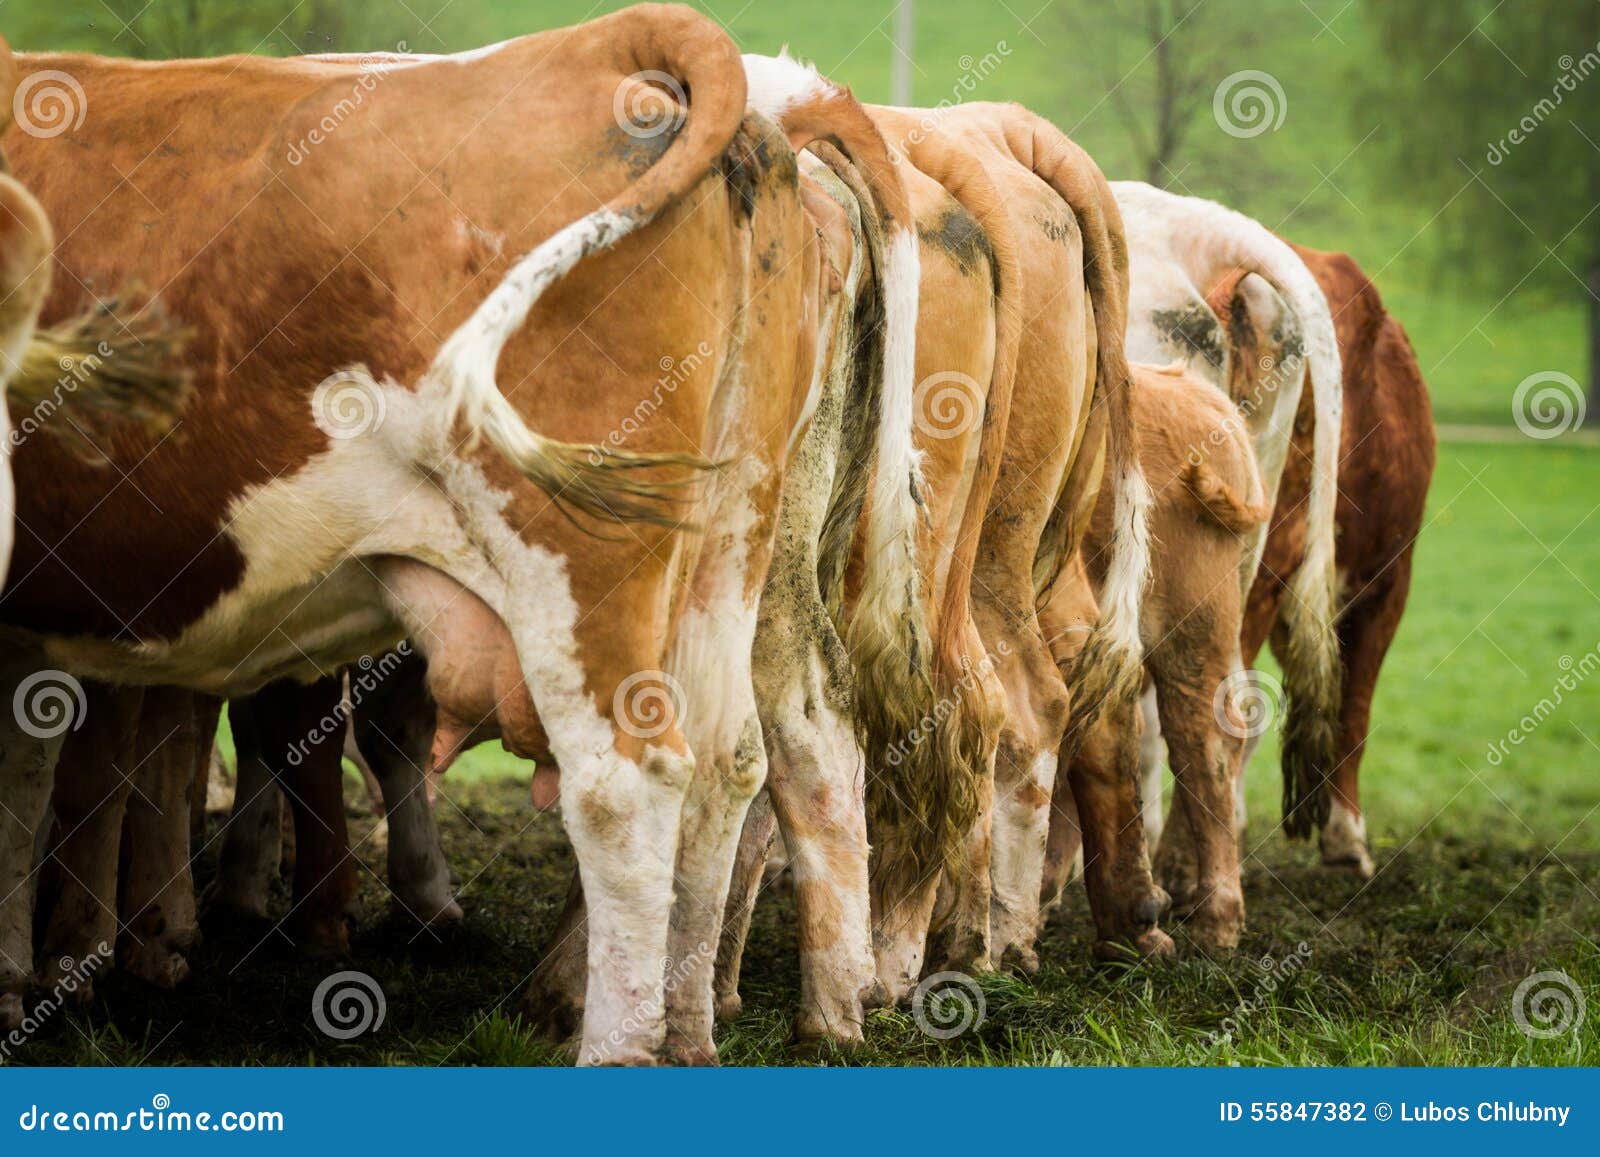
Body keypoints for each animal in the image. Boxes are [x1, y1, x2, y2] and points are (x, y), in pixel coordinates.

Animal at [0, 5, 820, 1066]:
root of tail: (599, 41)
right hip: (729, 538)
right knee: (727, 763)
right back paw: (686, 1036)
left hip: (575, 561)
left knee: (627, 785)